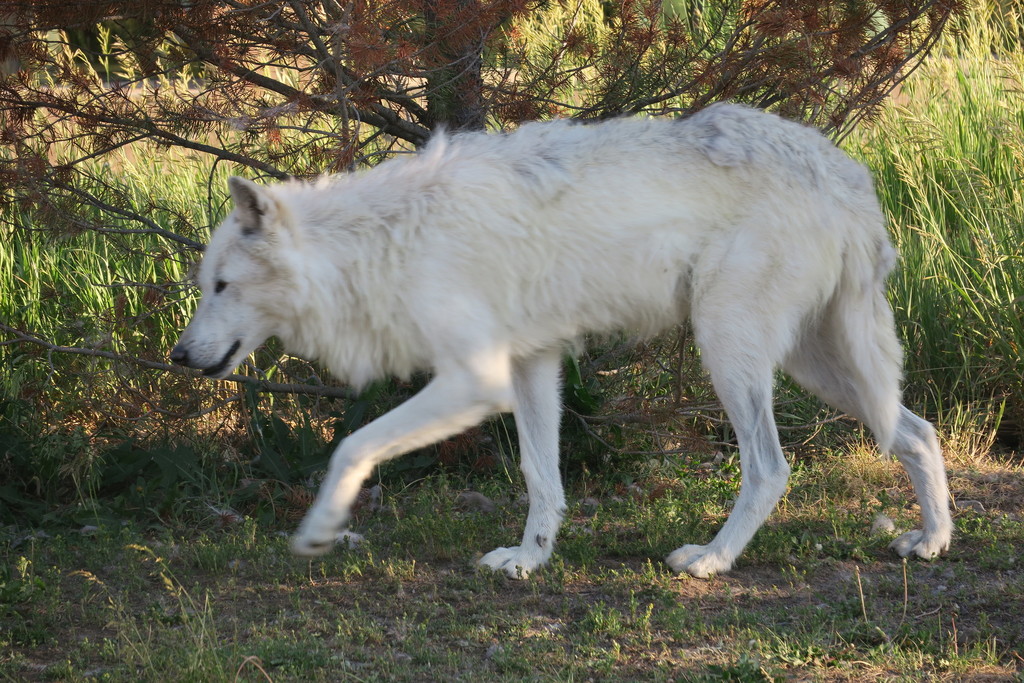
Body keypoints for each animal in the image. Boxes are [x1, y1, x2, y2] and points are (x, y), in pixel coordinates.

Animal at [170, 103, 953, 578]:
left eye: (221, 286)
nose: (177, 356)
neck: (378, 243)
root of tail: (847, 175)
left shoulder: (474, 379)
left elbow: (351, 446)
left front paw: (319, 529)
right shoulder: (531, 364)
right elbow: (539, 476)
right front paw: (529, 559)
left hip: (731, 354)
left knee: (769, 468)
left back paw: (712, 559)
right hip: (814, 364)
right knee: (917, 431)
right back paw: (933, 540)